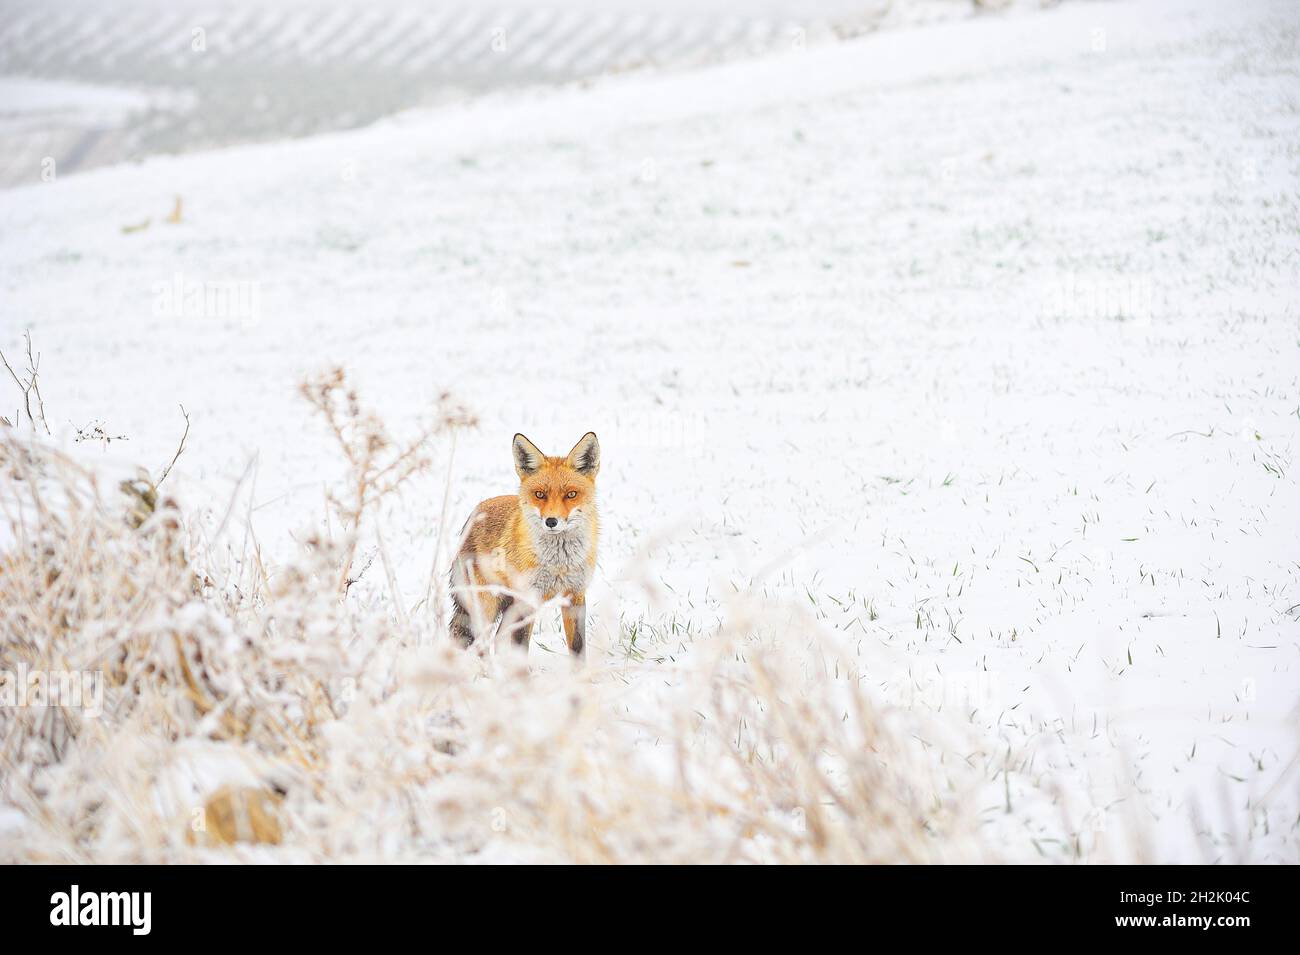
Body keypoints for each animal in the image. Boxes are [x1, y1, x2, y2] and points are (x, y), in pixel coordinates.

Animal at [450, 432, 599, 656]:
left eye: (571, 494)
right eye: (540, 494)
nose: (551, 521)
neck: (558, 564)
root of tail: (474, 513)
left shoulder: (575, 595)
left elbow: (577, 648)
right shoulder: (528, 599)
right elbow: (521, 649)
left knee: (496, 640)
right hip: (485, 607)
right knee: (480, 644)